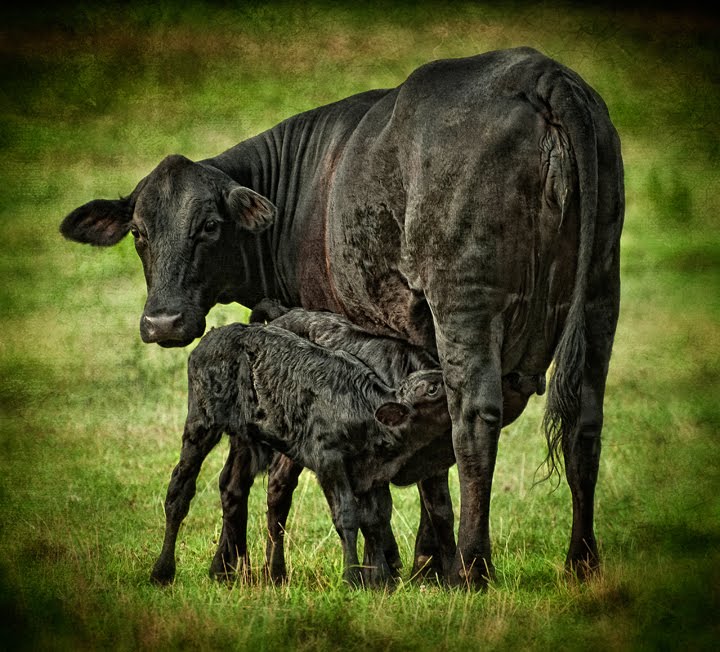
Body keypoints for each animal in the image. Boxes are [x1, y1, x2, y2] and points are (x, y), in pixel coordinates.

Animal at [150, 321, 451, 587]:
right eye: (433, 389)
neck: (362, 408)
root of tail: (214, 335)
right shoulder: (329, 460)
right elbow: (347, 516)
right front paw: (352, 578)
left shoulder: (370, 474)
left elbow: (375, 520)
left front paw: (381, 581)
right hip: (200, 424)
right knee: (179, 489)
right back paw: (162, 572)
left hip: (246, 437)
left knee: (234, 489)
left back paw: (233, 574)